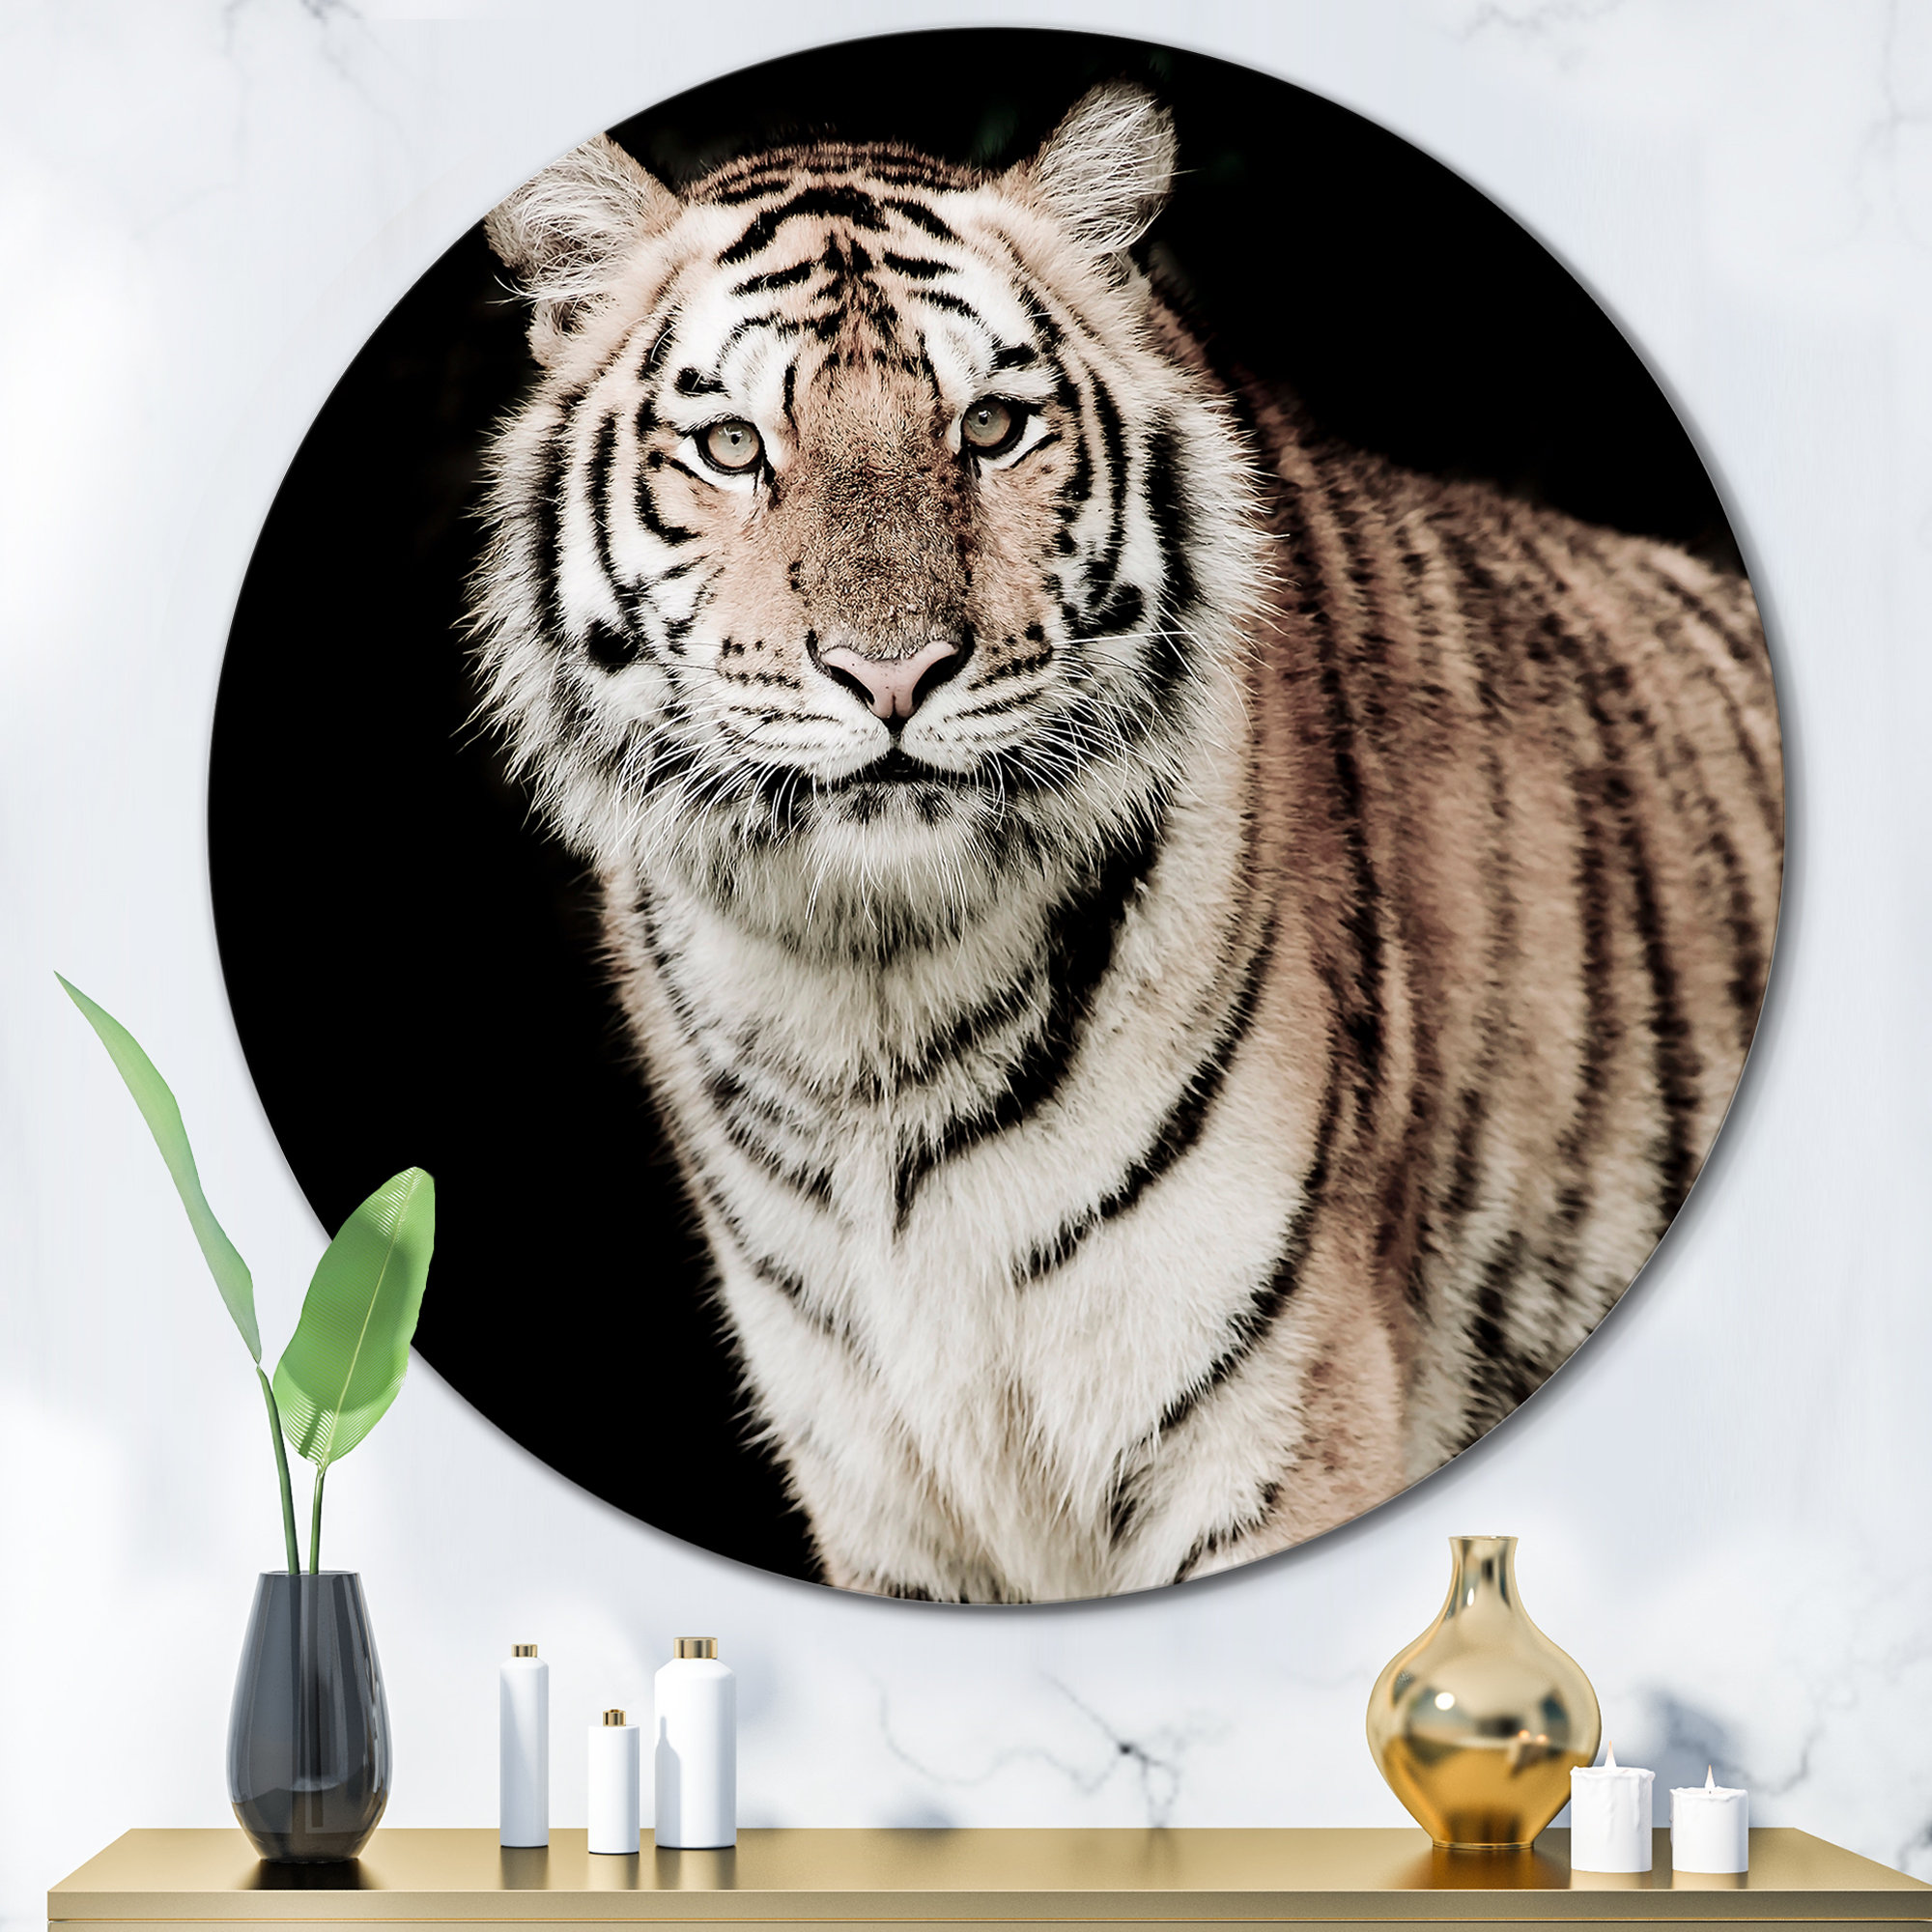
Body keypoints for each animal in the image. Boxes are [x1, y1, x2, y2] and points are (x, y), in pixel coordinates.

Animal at [469, 84, 1783, 1603]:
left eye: (988, 427)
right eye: (734, 447)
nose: (890, 672)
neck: (867, 1001)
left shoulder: (1270, 1433)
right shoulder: (878, 1489)